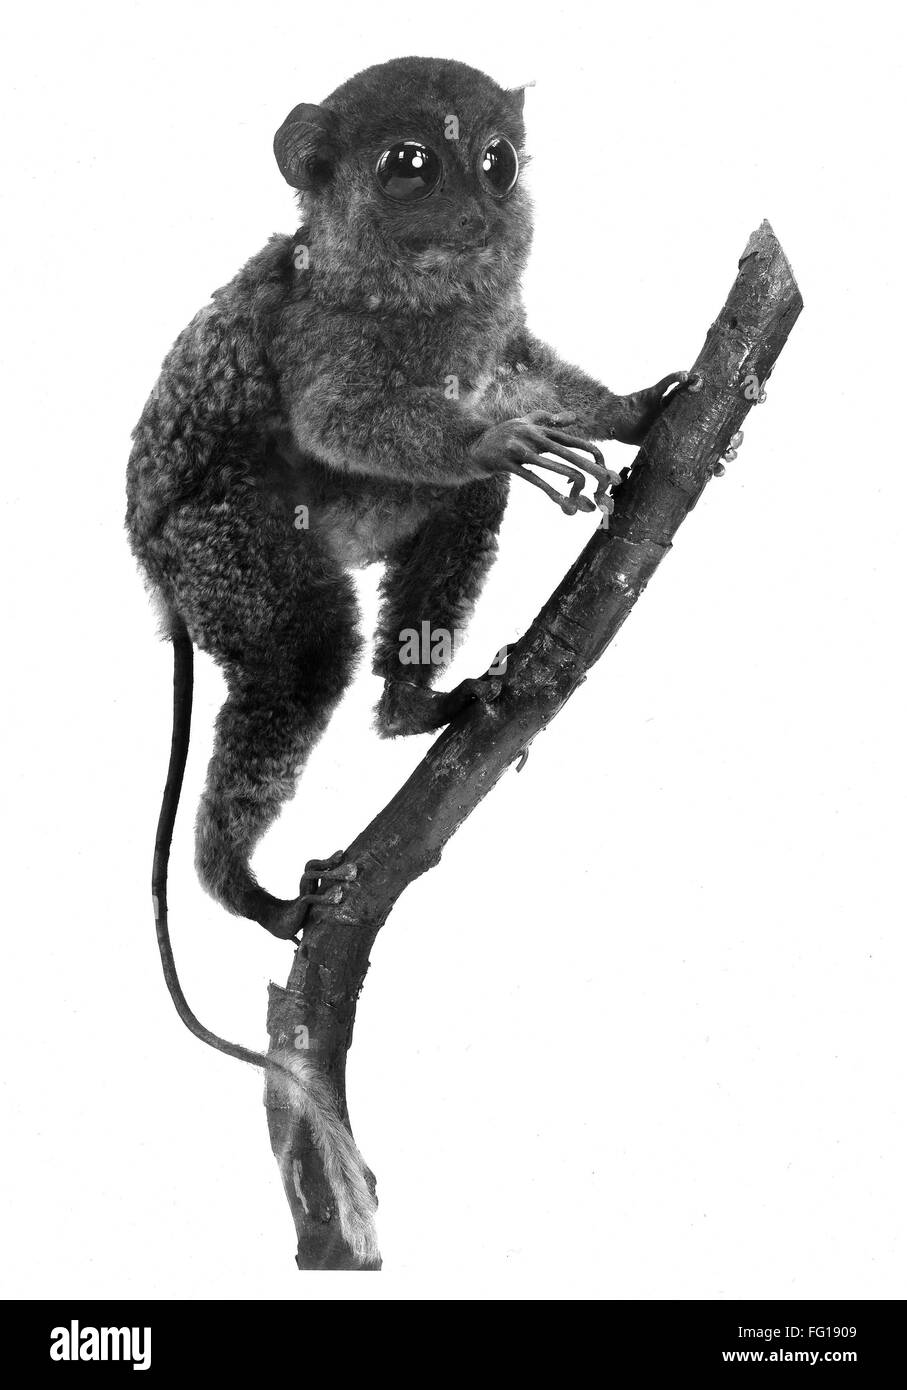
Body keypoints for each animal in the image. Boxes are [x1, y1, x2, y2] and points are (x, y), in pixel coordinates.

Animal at [126, 56, 696, 1262]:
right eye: (408, 166)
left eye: (498, 160)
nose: (482, 211)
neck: (424, 299)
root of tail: (153, 572)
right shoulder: (319, 335)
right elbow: (340, 417)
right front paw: (502, 438)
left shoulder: (496, 327)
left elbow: (520, 364)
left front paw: (631, 411)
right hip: (220, 548)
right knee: (304, 653)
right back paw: (247, 890)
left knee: (454, 512)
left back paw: (419, 705)